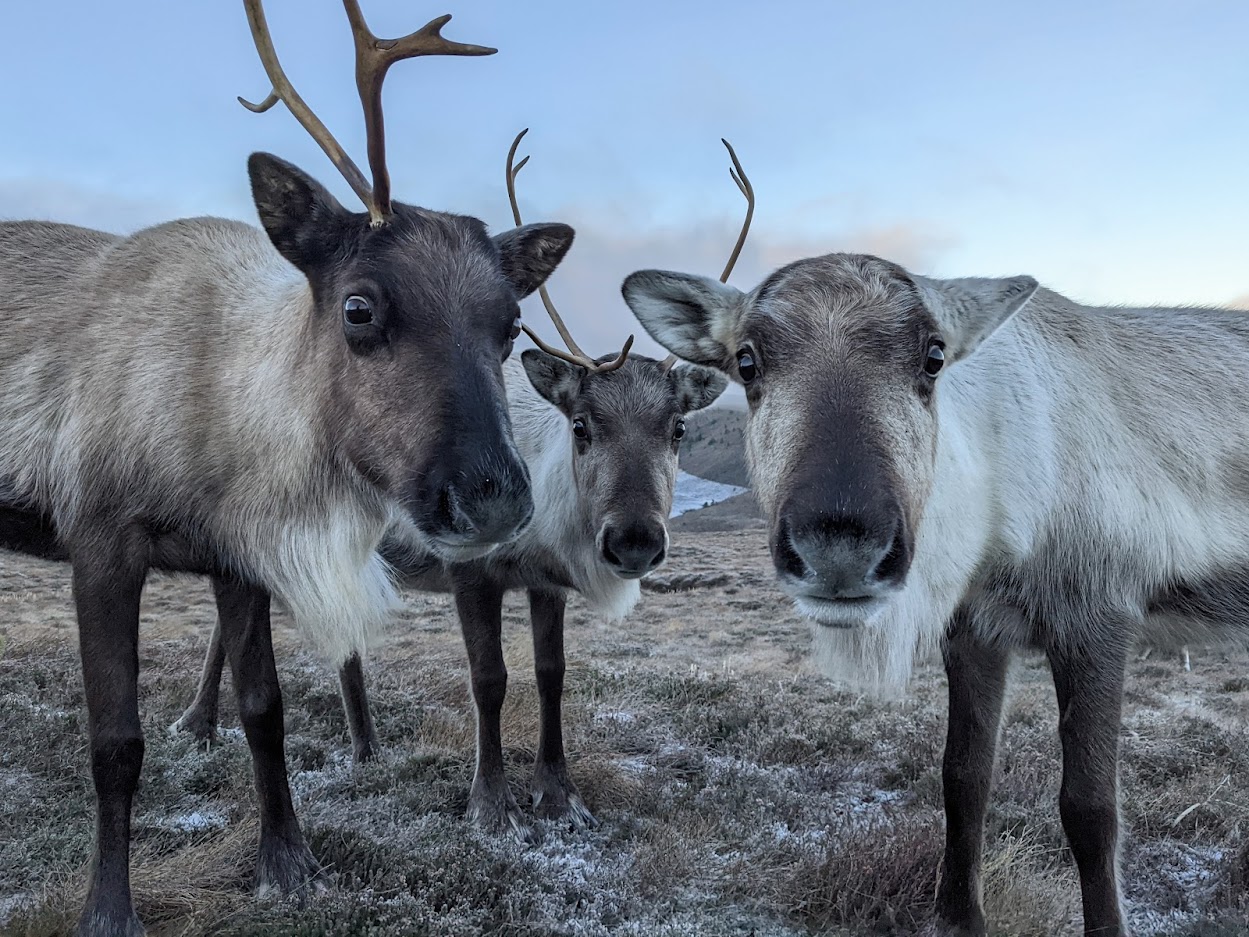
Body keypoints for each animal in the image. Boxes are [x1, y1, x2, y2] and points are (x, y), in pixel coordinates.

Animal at [0, 3, 580, 934]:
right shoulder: (101, 538)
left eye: (510, 325)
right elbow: (115, 741)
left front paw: (289, 862)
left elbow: (264, 711)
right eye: (360, 309)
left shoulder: (236, 560)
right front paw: (109, 910)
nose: (492, 499)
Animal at [172, 131, 751, 840]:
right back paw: (197, 723)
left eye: (677, 428)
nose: (635, 540)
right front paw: (491, 804)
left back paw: (365, 746)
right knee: (223, 628)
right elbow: (489, 679)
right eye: (582, 425)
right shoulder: (470, 570)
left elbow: (552, 674)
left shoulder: (545, 583)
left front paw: (559, 796)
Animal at [620, 245, 1249, 935]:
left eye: (934, 356)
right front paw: (957, 916)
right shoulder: (973, 630)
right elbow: (963, 778)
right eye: (747, 361)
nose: (841, 547)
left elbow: (1090, 808)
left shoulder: (1097, 617)